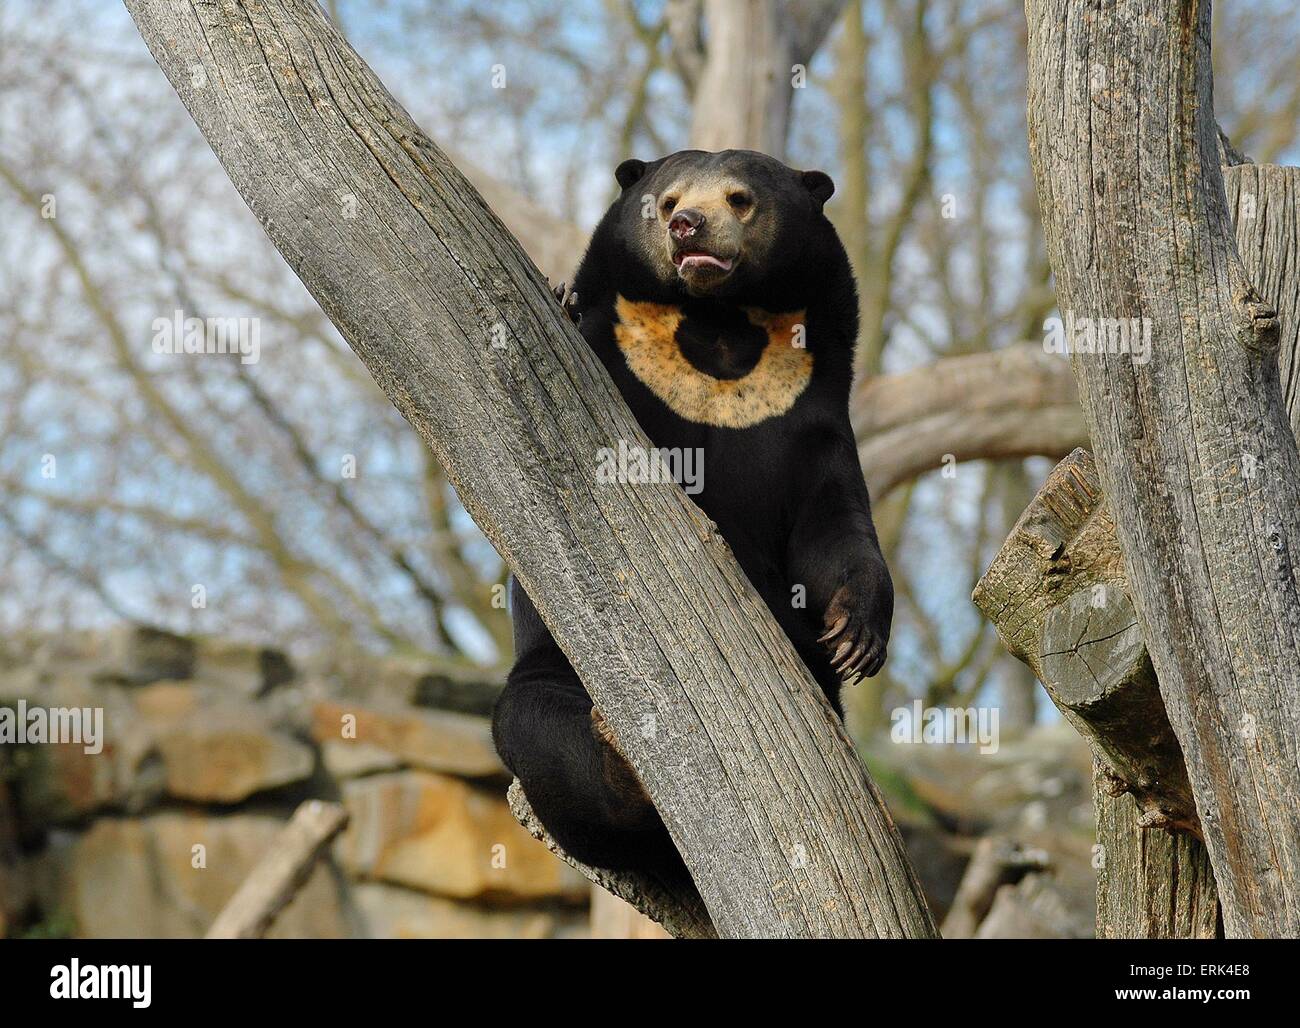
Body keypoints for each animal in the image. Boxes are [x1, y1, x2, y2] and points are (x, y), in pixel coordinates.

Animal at [491, 149, 893, 883]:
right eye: (667, 200)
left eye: (738, 199)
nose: (687, 227)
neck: (720, 326)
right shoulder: (623, 366)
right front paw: (559, 295)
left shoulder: (810, 415)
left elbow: (833, 531)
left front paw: (856, 638)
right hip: (557, 670)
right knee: (536, 726)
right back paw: (623, 766)